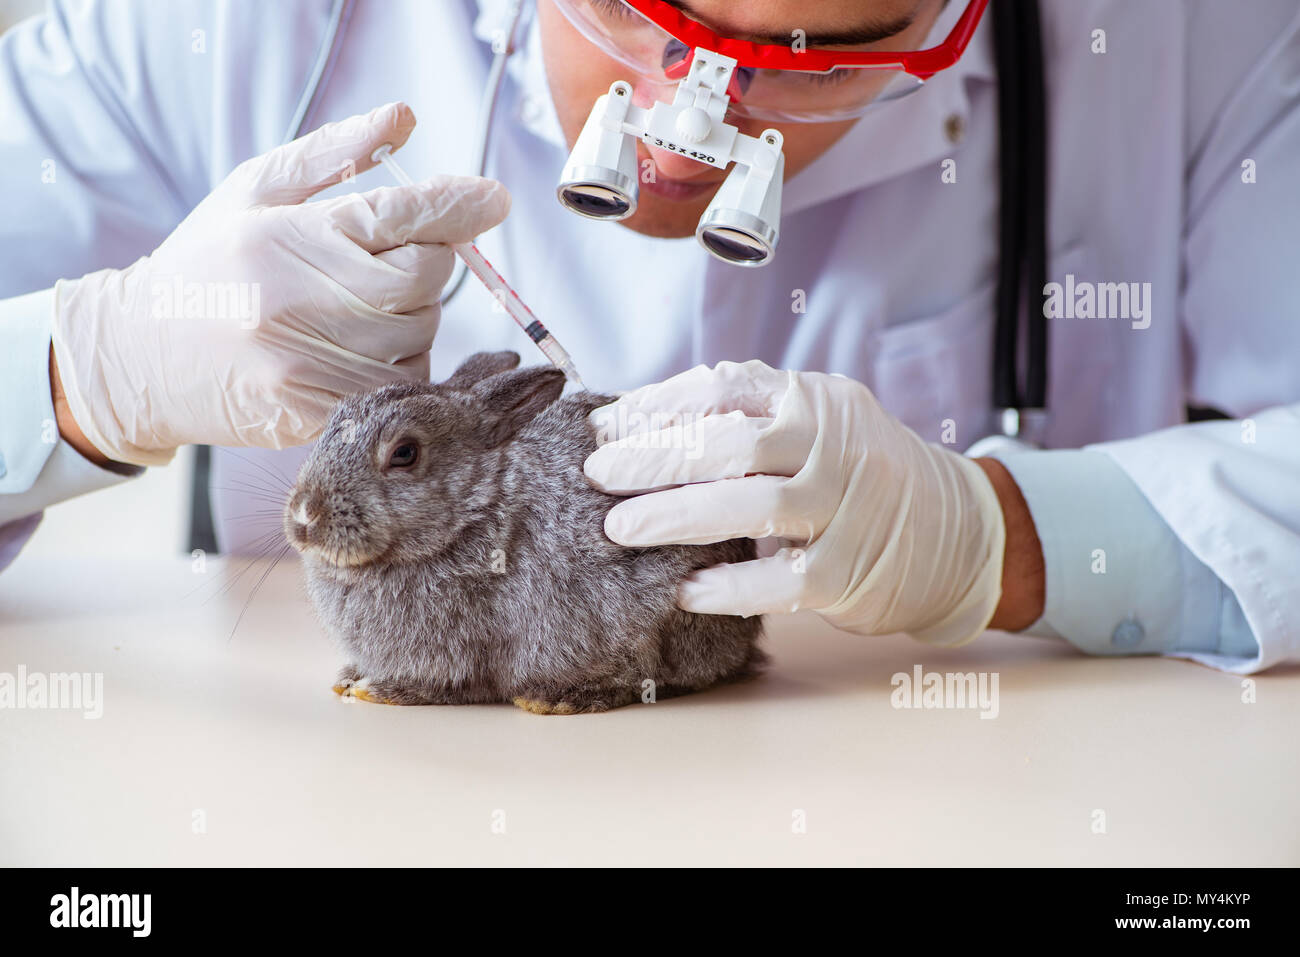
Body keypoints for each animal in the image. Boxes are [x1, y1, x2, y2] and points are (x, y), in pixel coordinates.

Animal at [283, 350, 766, 714]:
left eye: (404, 453)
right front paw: (348, 678)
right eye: (331, 423)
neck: (473, 510)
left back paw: (559, 699)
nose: (304, 518)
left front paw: (376, 689)